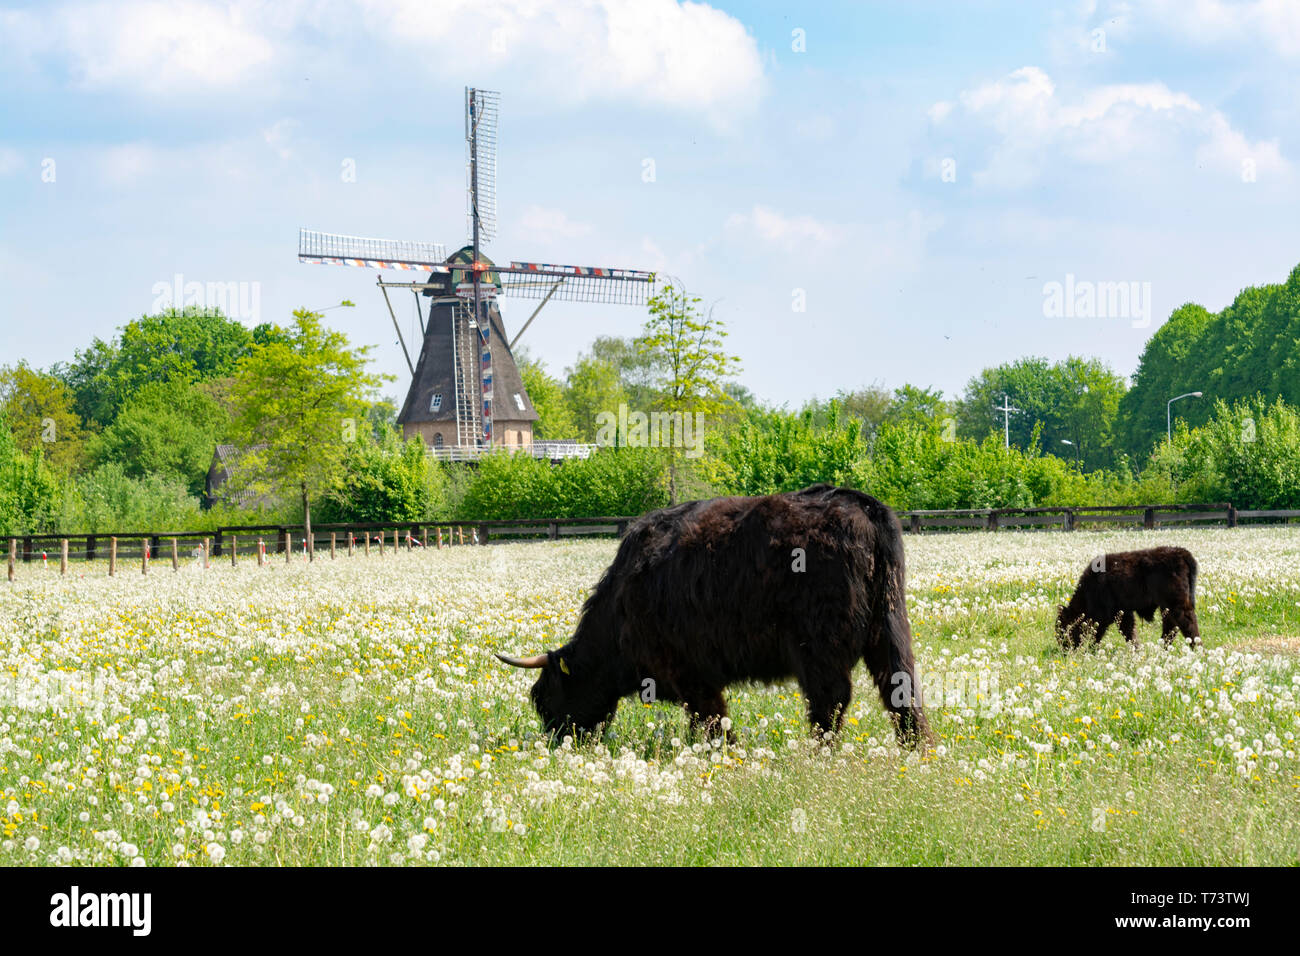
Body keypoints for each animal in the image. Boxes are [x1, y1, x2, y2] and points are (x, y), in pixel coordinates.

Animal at [496, 484, 932, 748]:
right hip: (890, 630)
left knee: (831, 700)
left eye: (545, 699)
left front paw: (725, 752)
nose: (556, 744)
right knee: (901, 688)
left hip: (820, 648)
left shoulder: (690, 671)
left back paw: (817, 753)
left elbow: (710, 718)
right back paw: (918, 749)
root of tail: (860, 504)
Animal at [1056, 546, 1200, 650]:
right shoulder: (1124, 612)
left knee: (1187, 623)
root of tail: (1181, 553)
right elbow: (1129, 631)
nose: (1064, 648)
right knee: (1171, 626)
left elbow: (1099, 633)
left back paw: (1197, 648)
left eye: (1062, 627)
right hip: (1167, 607)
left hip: (1175, 604)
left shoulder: (1105, 615)